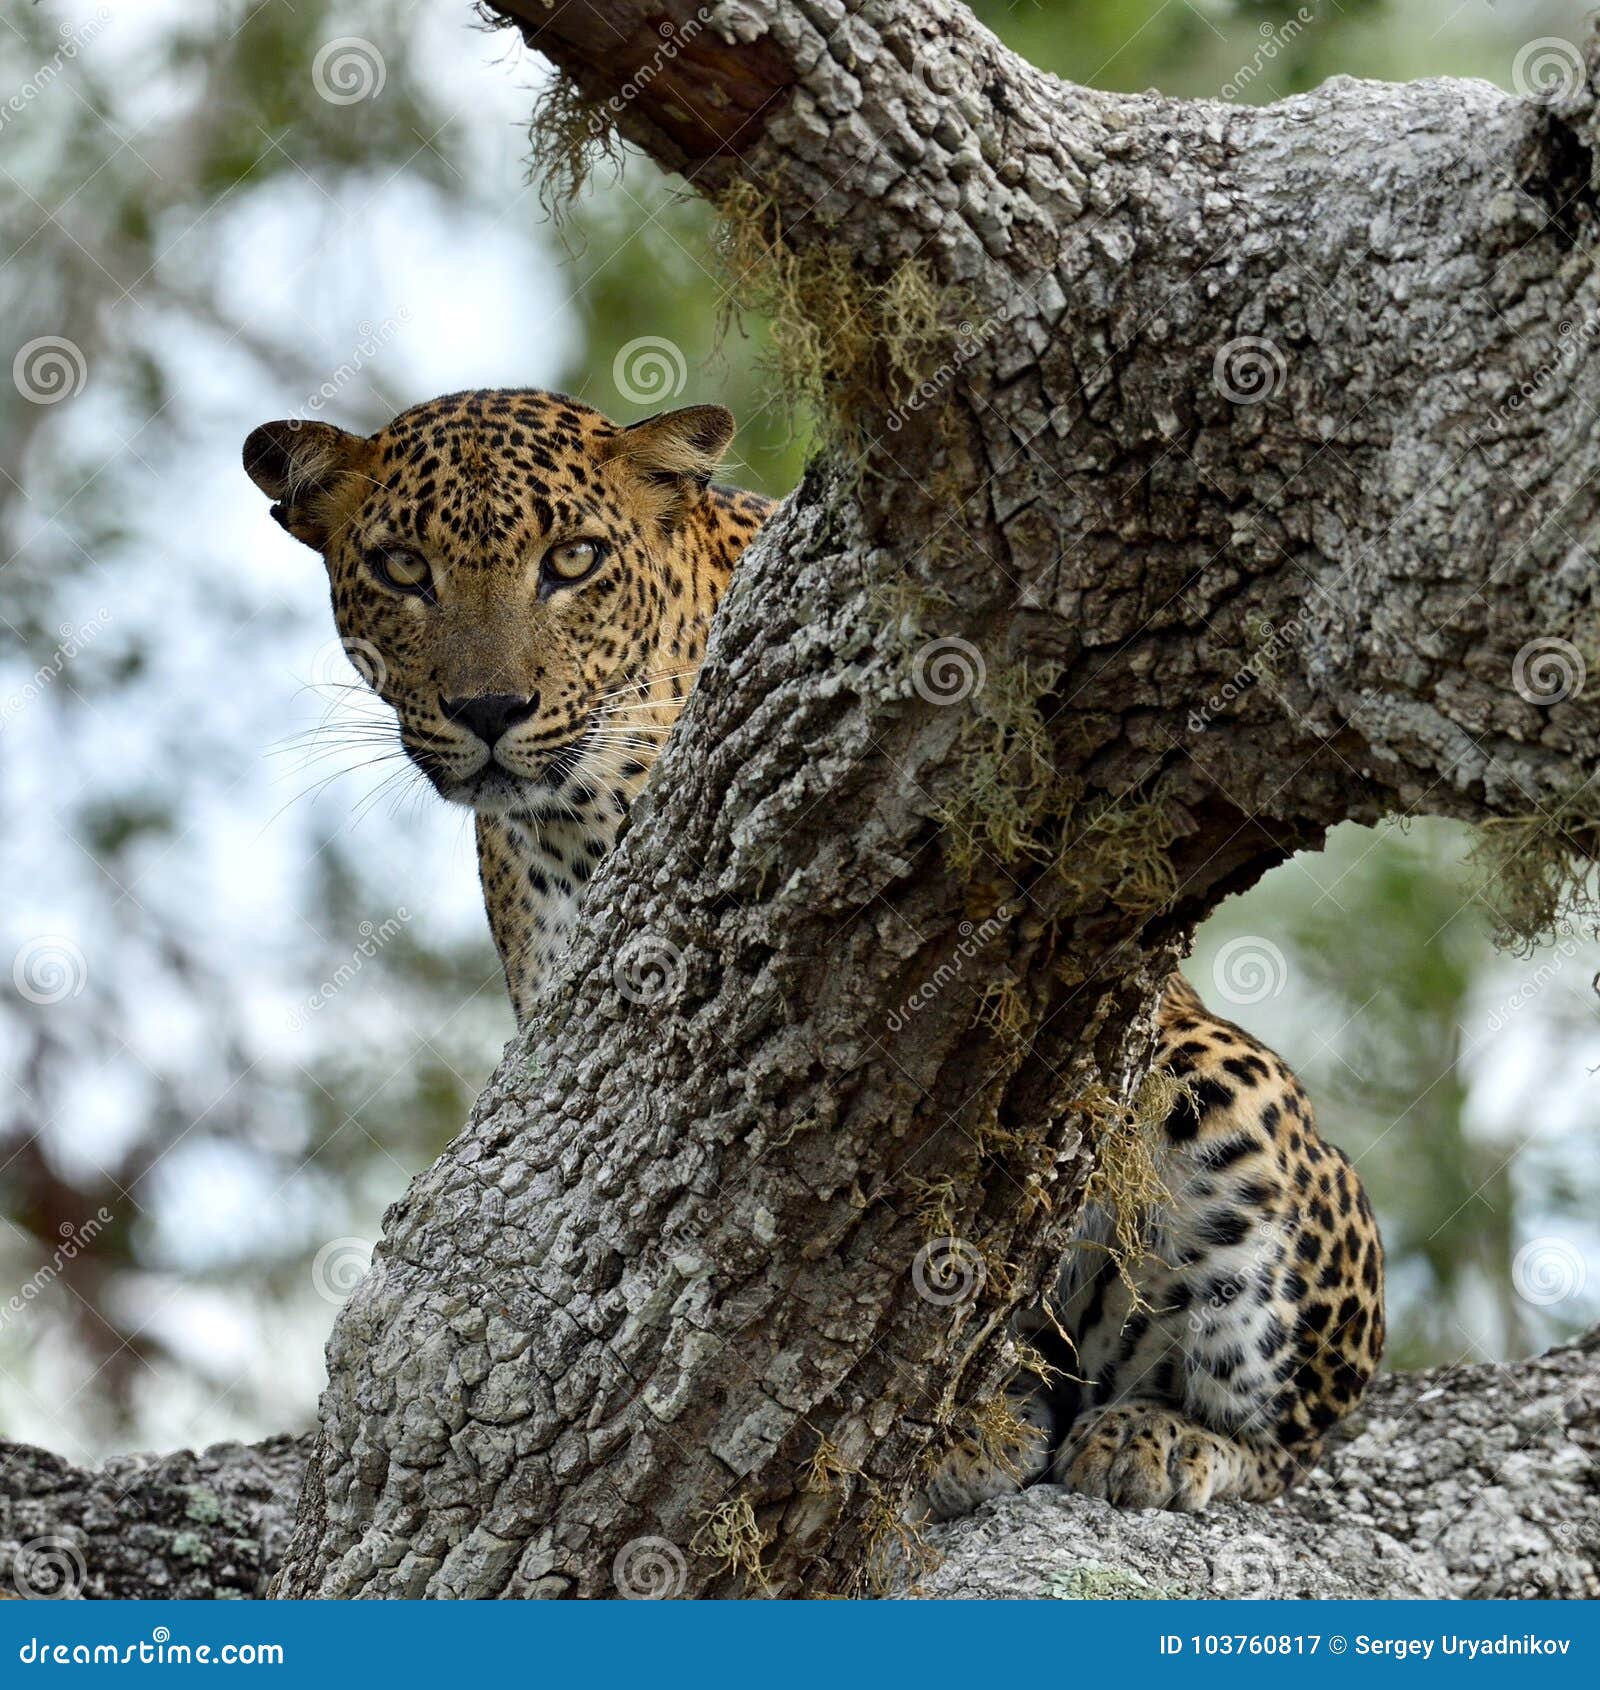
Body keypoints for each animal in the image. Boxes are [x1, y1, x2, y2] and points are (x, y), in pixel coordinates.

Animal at [243, 386, 1385, 1517]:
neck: (577, 813)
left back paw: (1151, 1436)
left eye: (572, 560)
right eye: (403, 568)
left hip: (1224, 1088)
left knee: (1291, 1432)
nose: (488, 710)